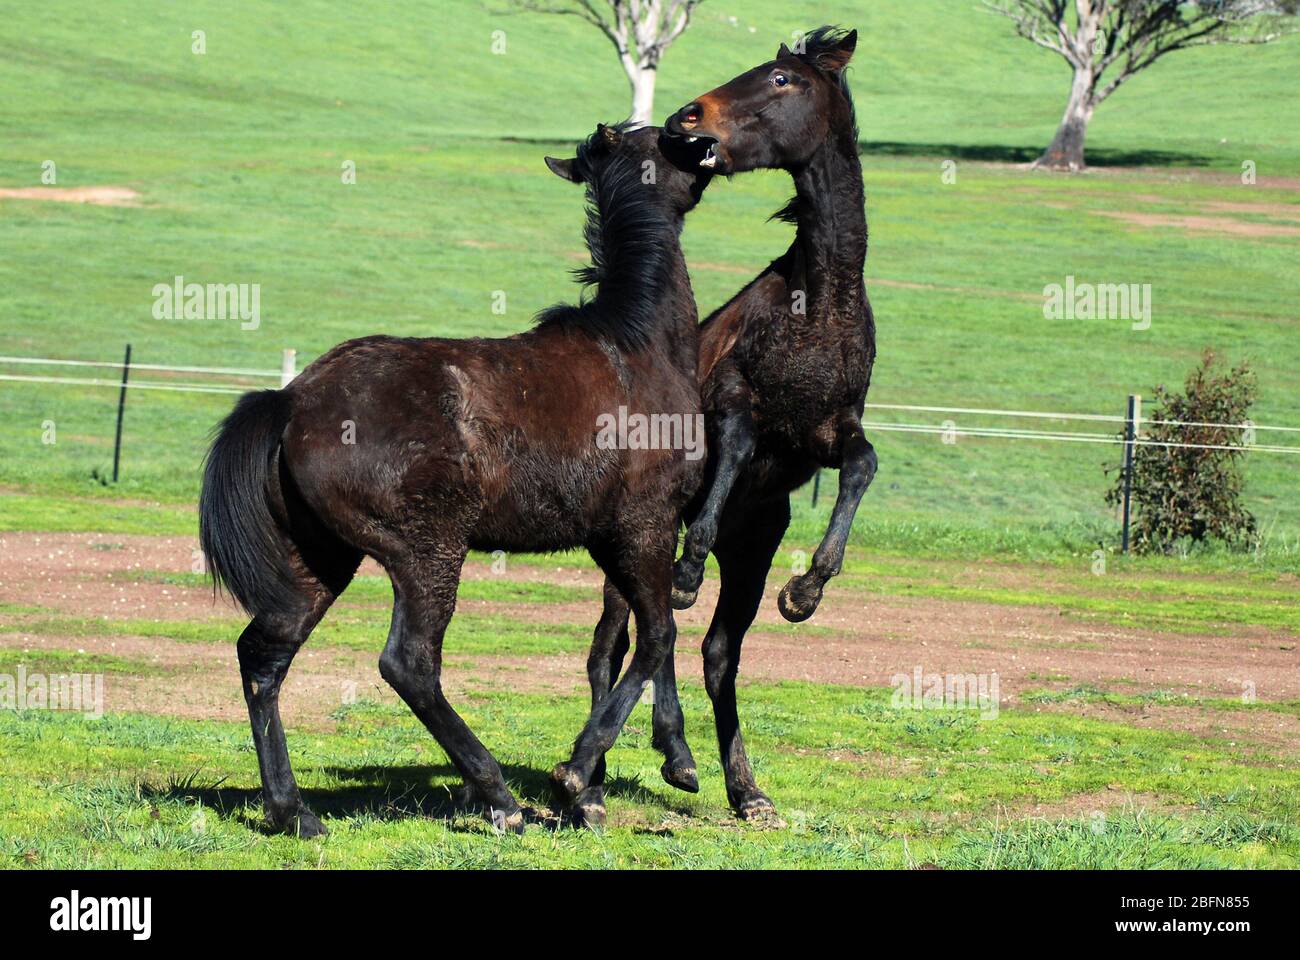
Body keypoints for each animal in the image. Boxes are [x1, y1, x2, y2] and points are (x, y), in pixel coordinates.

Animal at [199, 123, 715, 836]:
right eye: (672, 138)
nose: (711, 139)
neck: (637, 346)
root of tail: (291, 400)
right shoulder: (646, 525)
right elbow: (658, 634)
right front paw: (579, 773)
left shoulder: (614, 539)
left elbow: (635, 636)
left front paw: (645, 771)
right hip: (429, 554)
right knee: (409, 664)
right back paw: (497, 795)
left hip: (321, 562)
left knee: (263, 656)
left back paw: (292, 810)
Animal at [584, 27, 878, 822]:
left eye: (780, 79)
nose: (688, 115)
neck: (819, 309)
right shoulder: (731, 406)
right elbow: (738, 442)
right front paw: (691, 568)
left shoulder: (826, 432)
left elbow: (863, 464)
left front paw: (805, 592)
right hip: (634, 547)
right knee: (617, 645)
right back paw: (617, 774)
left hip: (752, 549)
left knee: (716, 653)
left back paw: (743, 790)